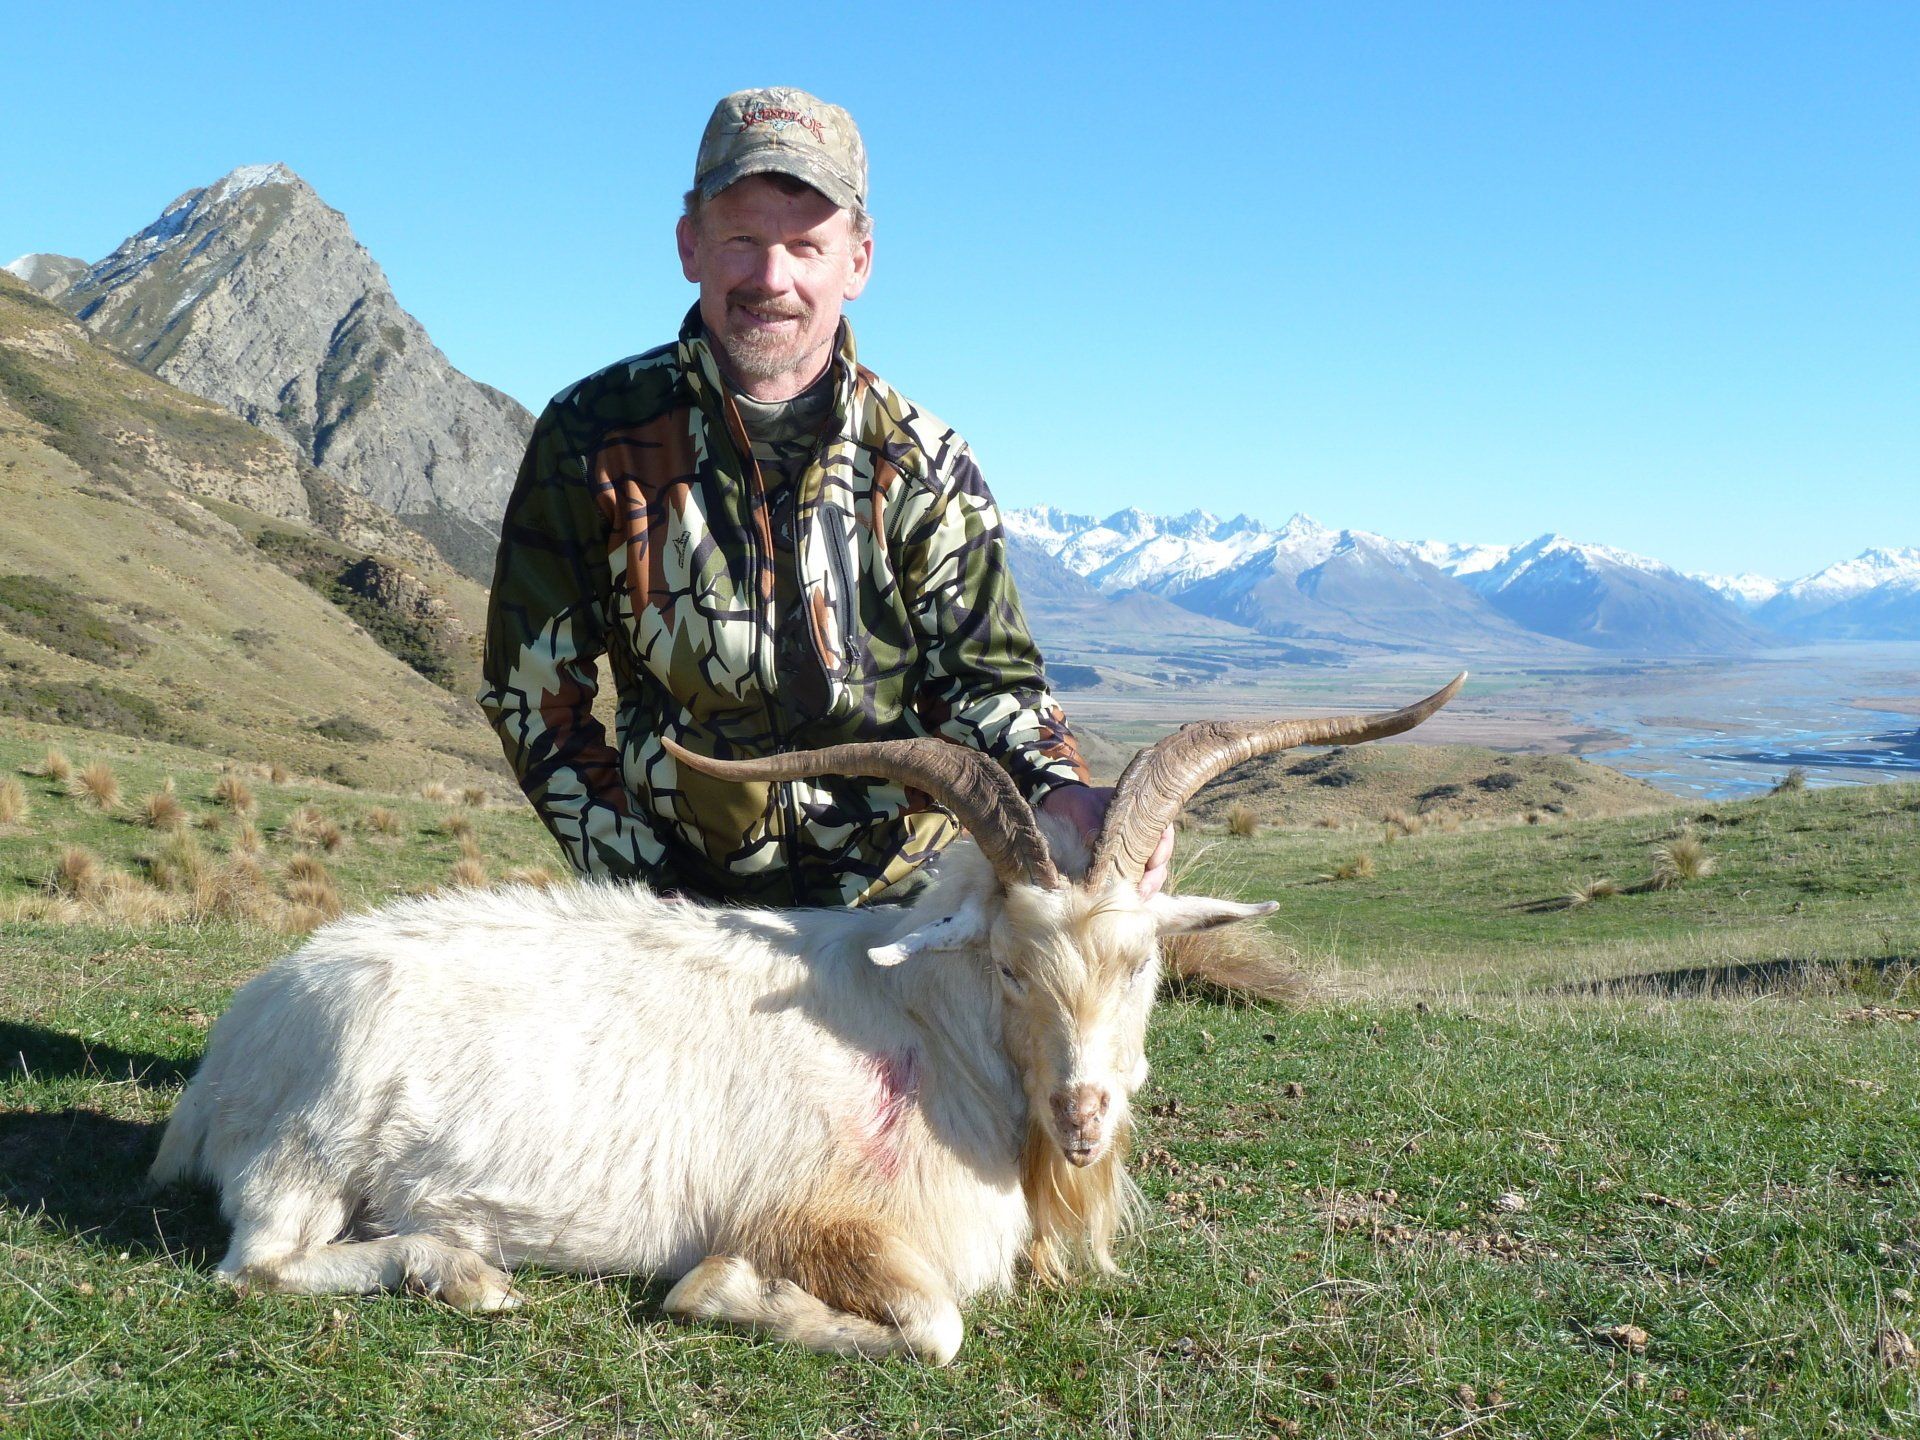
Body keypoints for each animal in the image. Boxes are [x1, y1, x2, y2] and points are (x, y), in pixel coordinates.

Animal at [150, 676, 1463, 1362]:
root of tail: (237, 1037)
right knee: (256, 1270)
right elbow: (932, 1327)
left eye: (1141, 963)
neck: (932, 1034)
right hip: (307, 1159)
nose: (1084, 1119)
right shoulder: (824, 1218)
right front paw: (725, 1293)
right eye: (1009, 965)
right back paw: (461, 1273)